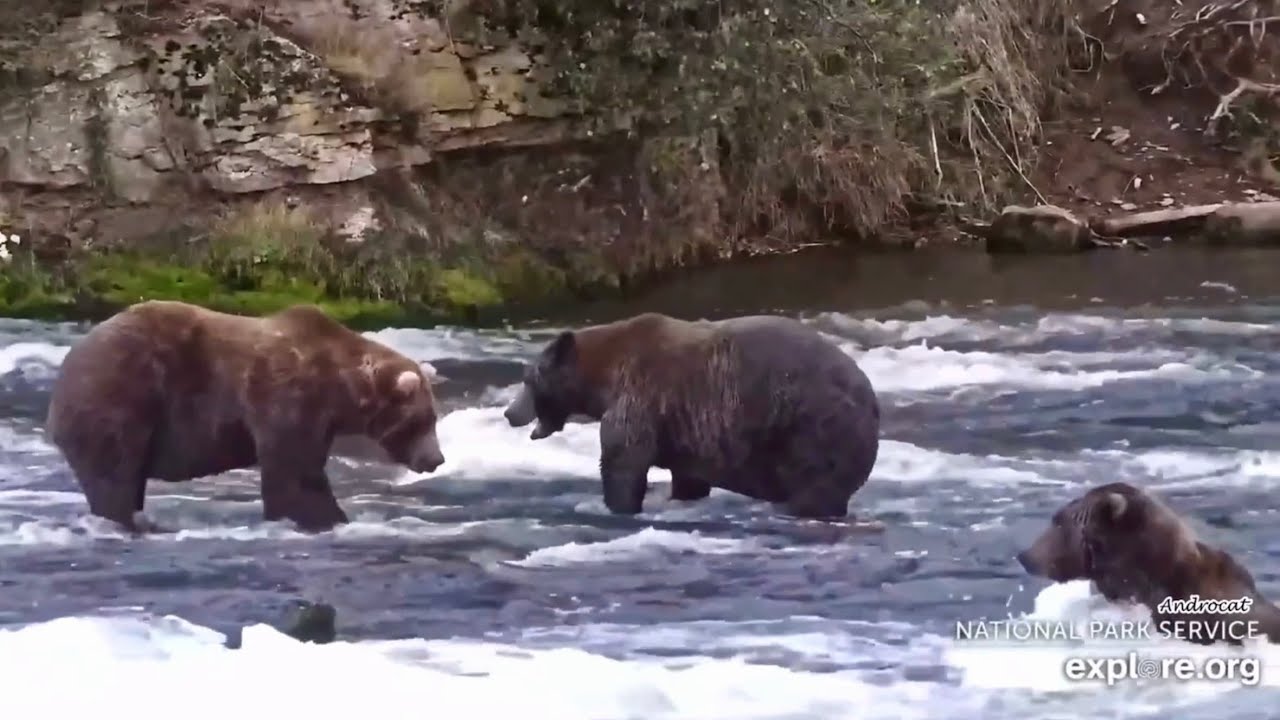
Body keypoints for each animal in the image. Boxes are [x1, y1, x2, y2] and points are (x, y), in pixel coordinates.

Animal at [45, 300, 446, 534]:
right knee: (114, 473)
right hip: (120, 397)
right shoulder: (286, 395)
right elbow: (294, 471)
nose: (436, 459)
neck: (340, 386)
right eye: (424, 420)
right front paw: (320, 517)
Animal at [502, 312, 880, 518]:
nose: (509, 412)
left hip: (813, 426)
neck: (601, 377)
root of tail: (872, 399)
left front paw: (617, 505)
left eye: (529, 378)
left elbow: (623, 459)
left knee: (813, 486)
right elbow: (688, 476)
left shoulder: (640, 394)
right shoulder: (689, 428)